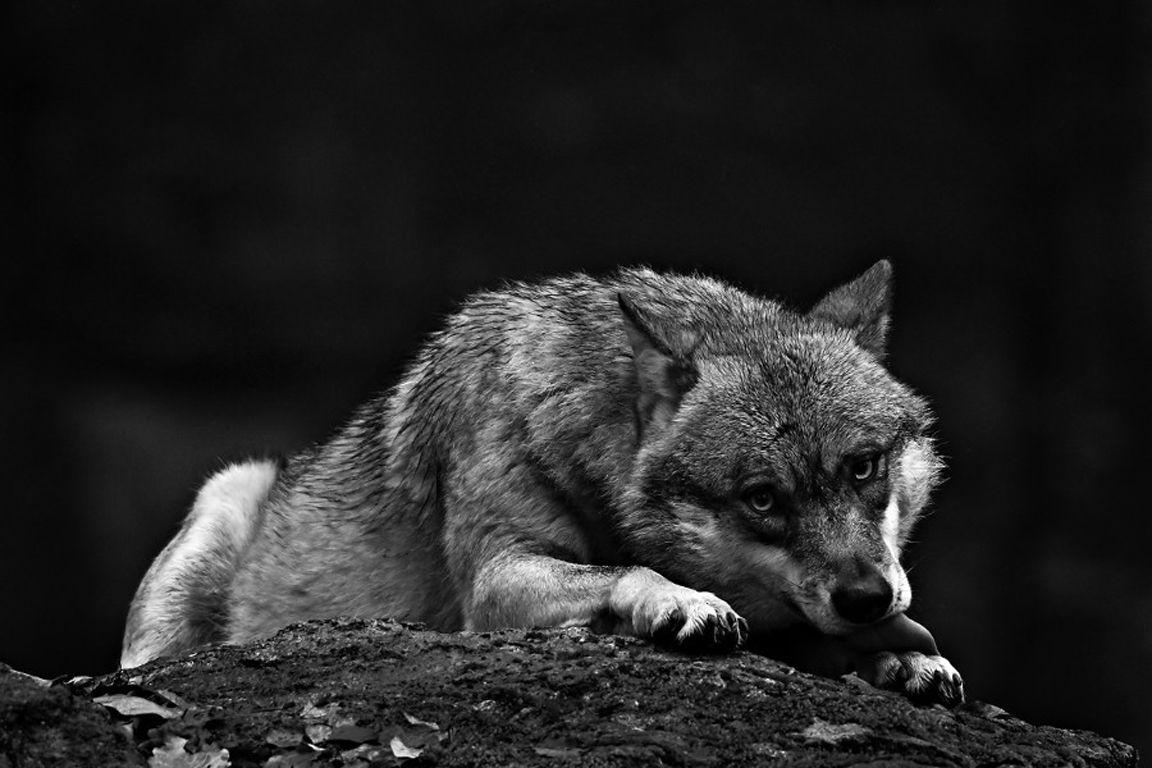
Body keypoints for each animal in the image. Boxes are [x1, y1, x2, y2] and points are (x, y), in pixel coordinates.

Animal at [122, 262, 963, 705]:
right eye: (762, 498)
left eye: (863, 466)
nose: (867, 599)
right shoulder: (496, 581)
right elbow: (627, 570)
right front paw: (680, 602)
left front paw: (905, 656)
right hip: (224, 498)